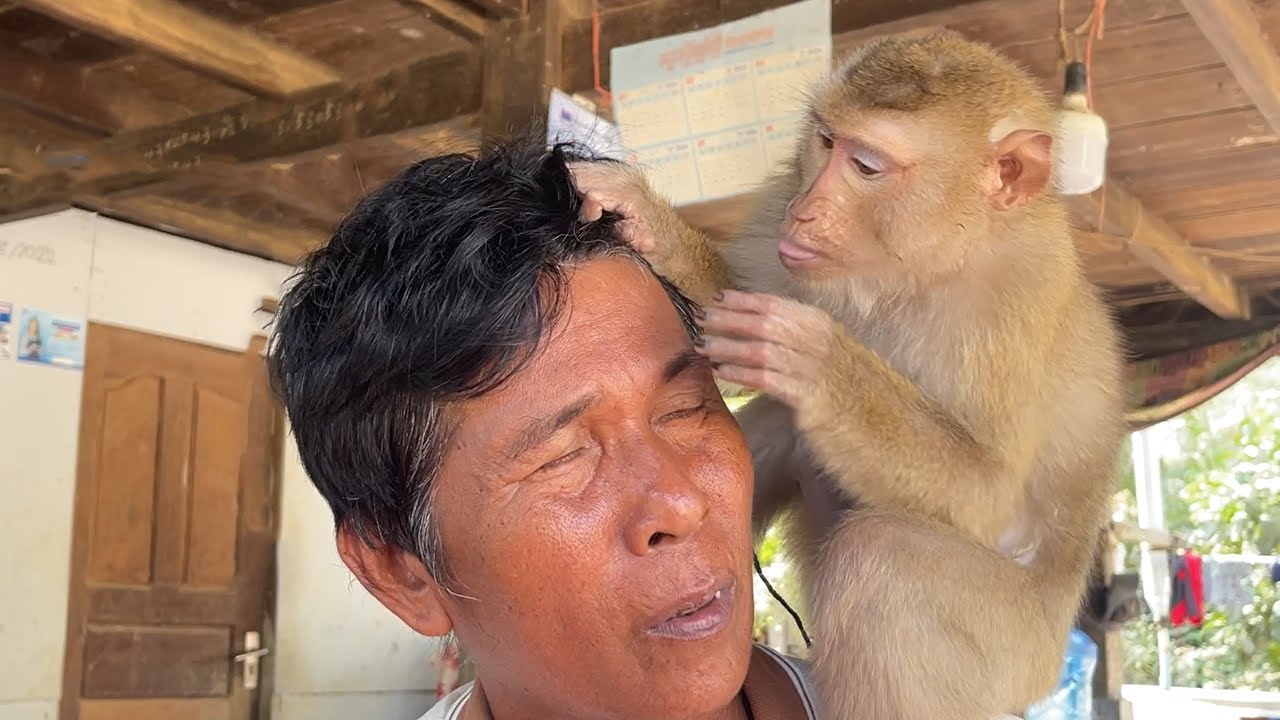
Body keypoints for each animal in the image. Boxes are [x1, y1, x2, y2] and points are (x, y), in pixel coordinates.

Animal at [572, 30, 1127, 720]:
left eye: (866, 167)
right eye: (826, 141)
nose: (807, 210)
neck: (921, 269)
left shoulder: (1013, 303)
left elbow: (989, 496)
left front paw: (816, 362)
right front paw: (652, 227)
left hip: (1016, 655)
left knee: (882, 562)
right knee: (784, 429)